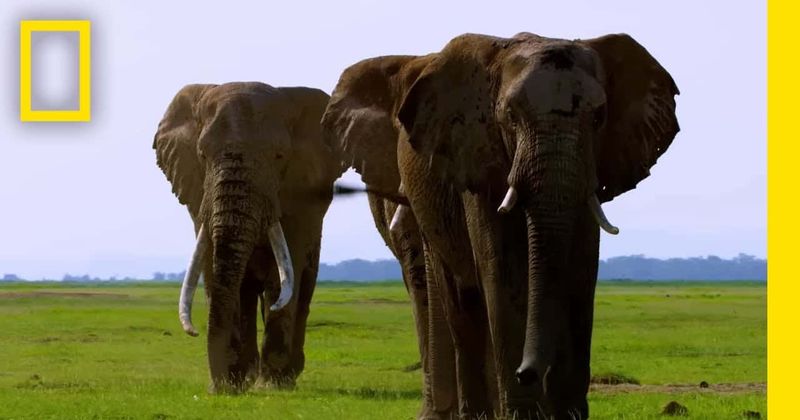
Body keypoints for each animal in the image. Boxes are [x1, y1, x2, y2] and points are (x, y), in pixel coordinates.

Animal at [153, 82, 344, 393]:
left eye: (279, 156)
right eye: (202, 155)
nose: (193, 332)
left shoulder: (300, 196)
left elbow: (284, 270)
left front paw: (271, 387)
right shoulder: (198, 191)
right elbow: (210, 263)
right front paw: (229, 386)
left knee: (301, 286)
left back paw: (285, 376)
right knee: (246, 291)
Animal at [325, 31, 680, 419]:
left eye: (599, 117)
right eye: (510, 116)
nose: (528, 372)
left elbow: (581, 271)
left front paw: (568, 415)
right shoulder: (474, 156)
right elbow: (501, 268)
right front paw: (523, 414)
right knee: (462, 299)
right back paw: (475, 413)